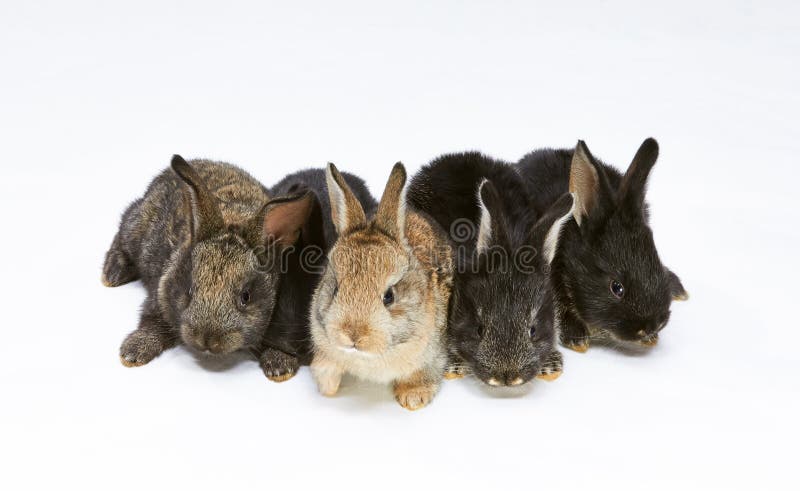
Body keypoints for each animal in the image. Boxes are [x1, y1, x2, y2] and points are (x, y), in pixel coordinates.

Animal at [102, 155, 324, 382]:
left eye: (246, 297)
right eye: (189, 291)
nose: (207, 339)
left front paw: (280, 365)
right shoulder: (160, 294)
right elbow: (152, 322)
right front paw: (133, 352)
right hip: (136, 229)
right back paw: (112, 273)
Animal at [309, 162, 453, 411]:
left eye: (389, 296)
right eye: (335, 289)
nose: (353, 335)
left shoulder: (431, 353)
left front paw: (413, 398)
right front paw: (328, 385)